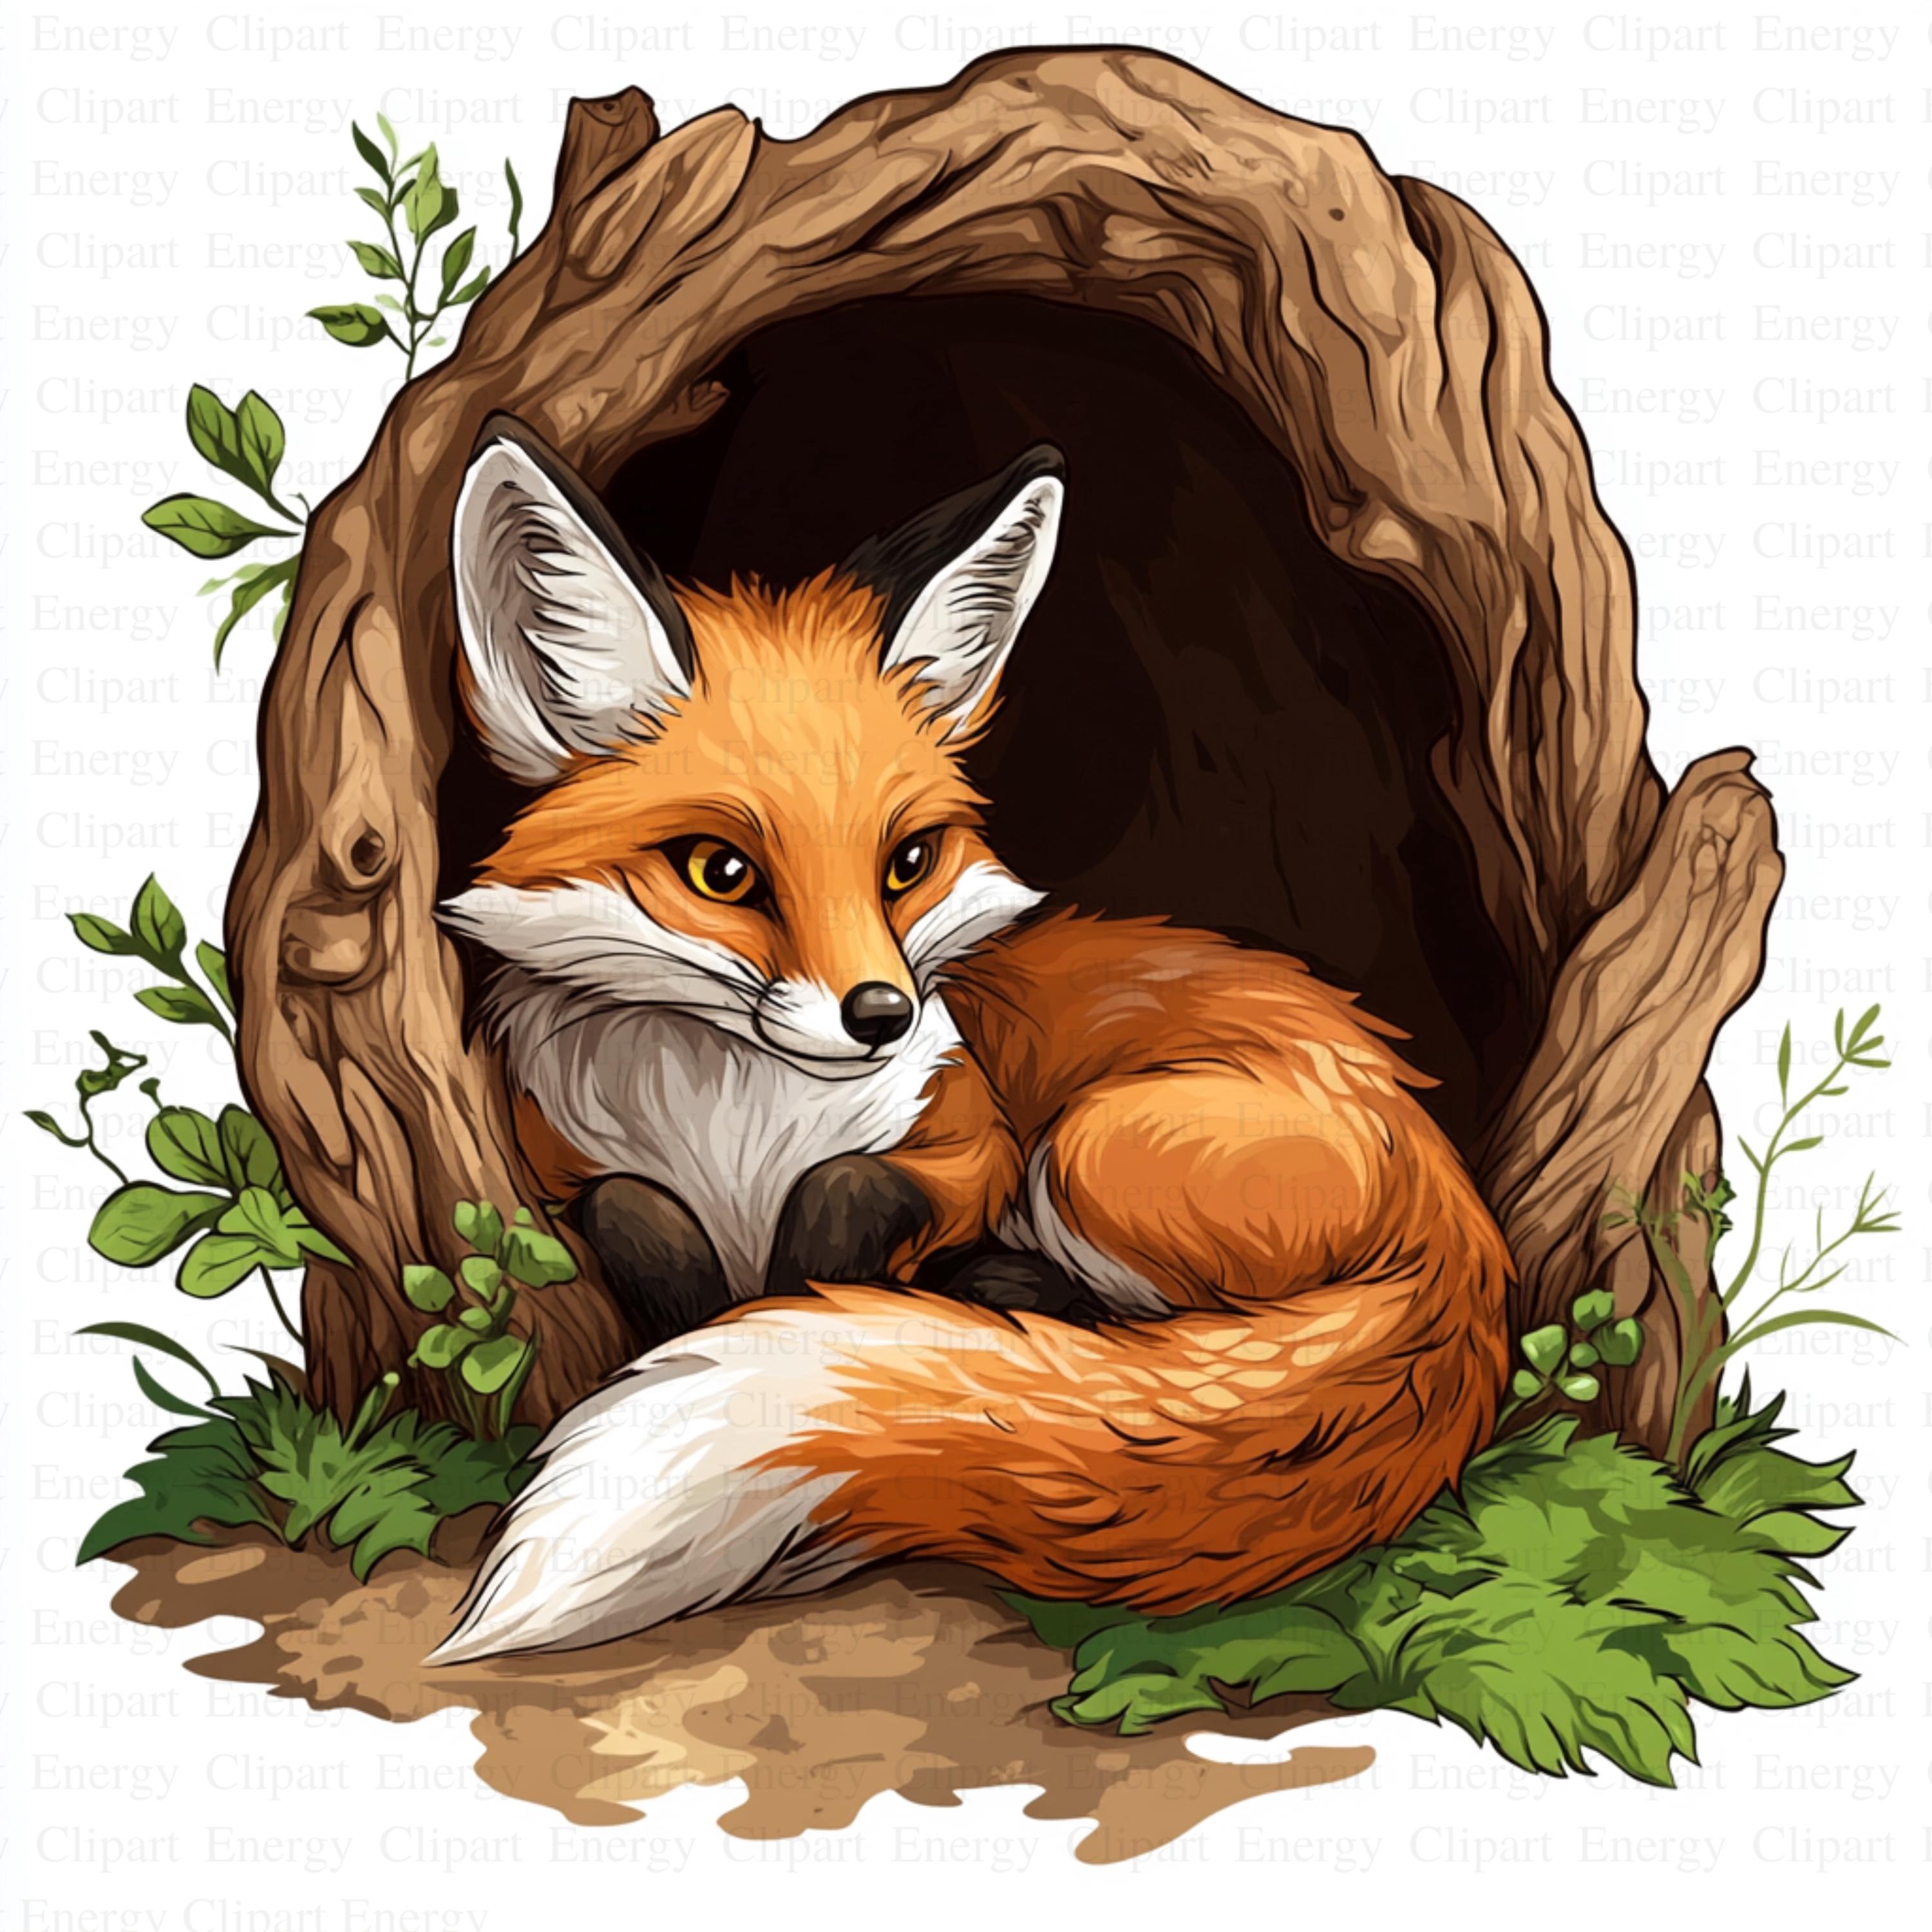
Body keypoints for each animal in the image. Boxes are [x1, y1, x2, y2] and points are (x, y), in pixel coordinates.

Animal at [429, 416, 1513, 1663]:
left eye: (907, 861)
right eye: (721, 871)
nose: (882, 1015)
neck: (737, 1131)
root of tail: (1459, 1204)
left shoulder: (967, 1144)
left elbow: (850, 1193)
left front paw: (807, 1302)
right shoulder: (565, 1163)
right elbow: (630, 1212)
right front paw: (703, 1296)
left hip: (1088, 1154)